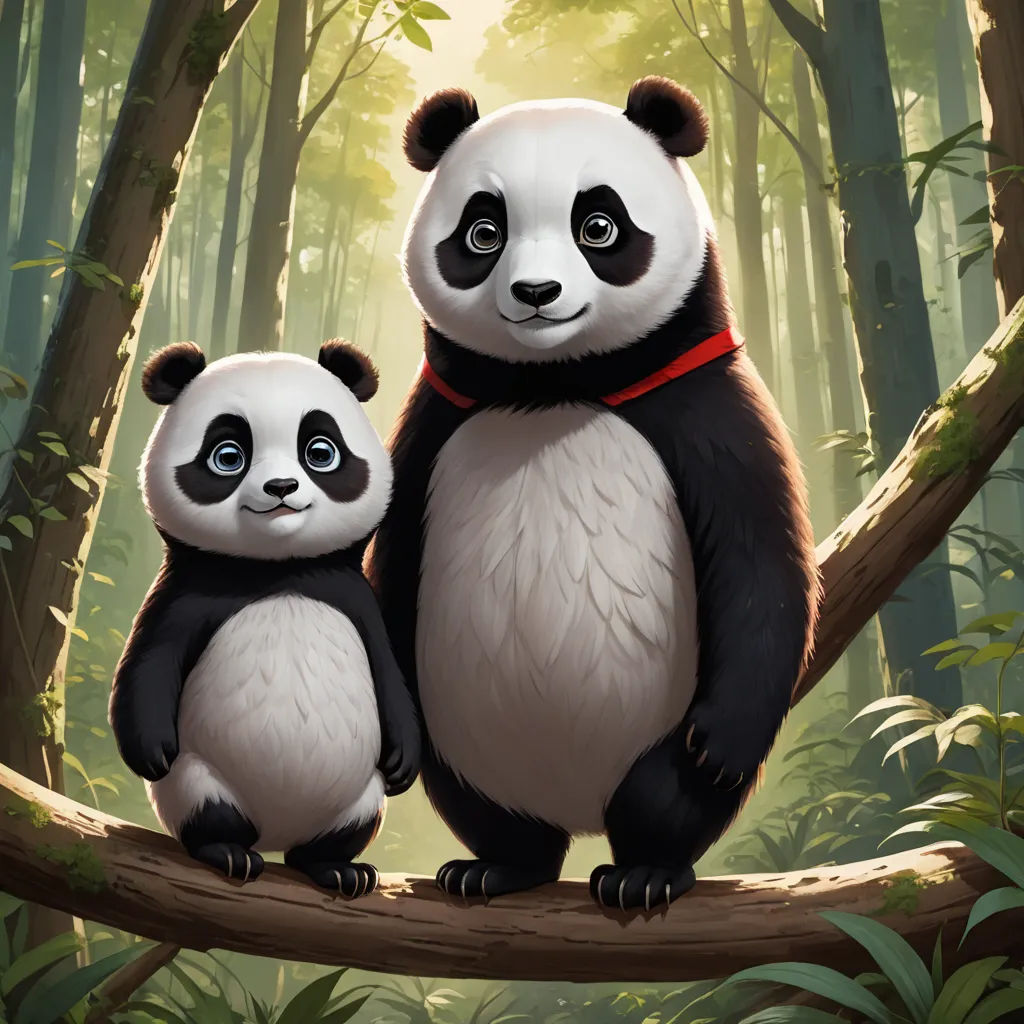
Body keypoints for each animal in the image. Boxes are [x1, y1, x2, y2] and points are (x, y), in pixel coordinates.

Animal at [110, 340, 420, 896]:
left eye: (320, 451)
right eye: (228, 456)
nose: (281, 487)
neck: (278, 570)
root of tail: (277, 834)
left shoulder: (356, 599)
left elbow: (390, 671)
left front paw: (405, 760)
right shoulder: (187, 595)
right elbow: (150, 658)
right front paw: (149, 750)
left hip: (360, 796)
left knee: (341, 832)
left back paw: (337, 868)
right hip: (198, 781)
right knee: (209, 813)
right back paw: (229, 853)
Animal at [367, 77, 820, 911]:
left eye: (599, 225)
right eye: (484, 232)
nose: (536, 292)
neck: (553, 386)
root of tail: (573, 808)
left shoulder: (709, 410)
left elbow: (759, 562)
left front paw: (722, 744)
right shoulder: (430, 424)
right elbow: (389, 568)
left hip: (656, 737)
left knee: (665, 798)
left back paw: (644, 872)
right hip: (461, 736)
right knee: (484, 805)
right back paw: (496, 866)